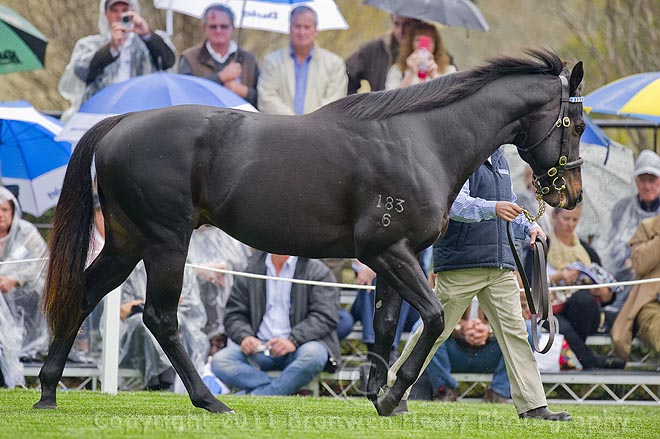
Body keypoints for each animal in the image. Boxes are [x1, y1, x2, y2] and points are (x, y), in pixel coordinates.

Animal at [35, 50, 584, 416]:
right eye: (575, 123)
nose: (572, 195)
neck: (421, 140)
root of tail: (120, 121)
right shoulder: (388, 251)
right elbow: (430, 319)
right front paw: (391, 395)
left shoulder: (394, 256)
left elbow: (386, 325)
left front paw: (381, 396)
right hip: (166, 243)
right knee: (160, 318)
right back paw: (210, 400)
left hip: (127, 243)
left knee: (83, 294)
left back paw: (47, 392)